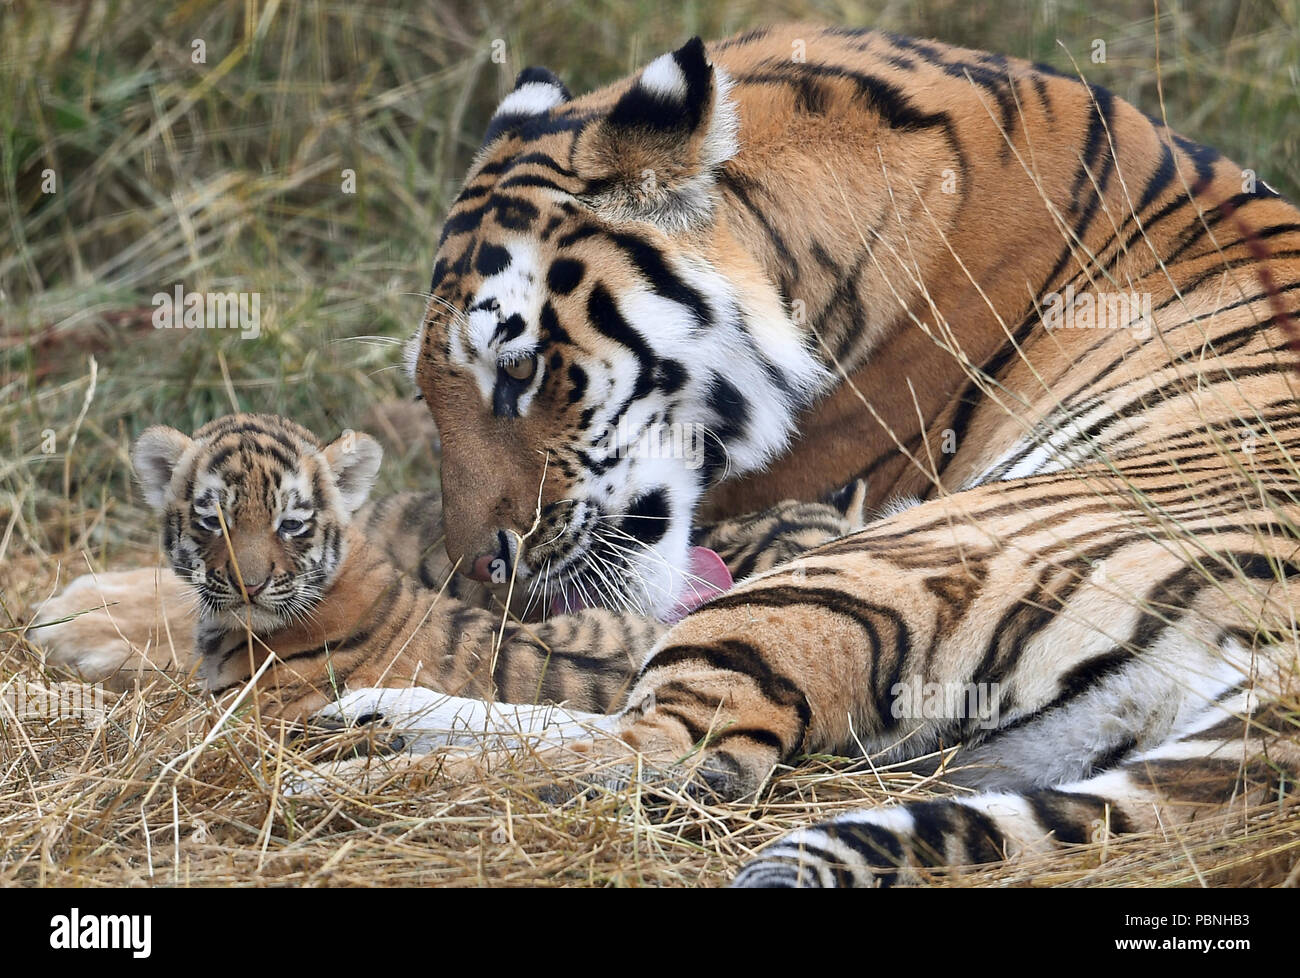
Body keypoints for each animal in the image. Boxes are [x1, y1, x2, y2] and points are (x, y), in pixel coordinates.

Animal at [393, 24, 1300, 886]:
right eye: (427, 392)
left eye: (518, 369)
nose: (481, 565)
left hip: (869, 567)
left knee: (677, 751)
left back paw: (367, 762)